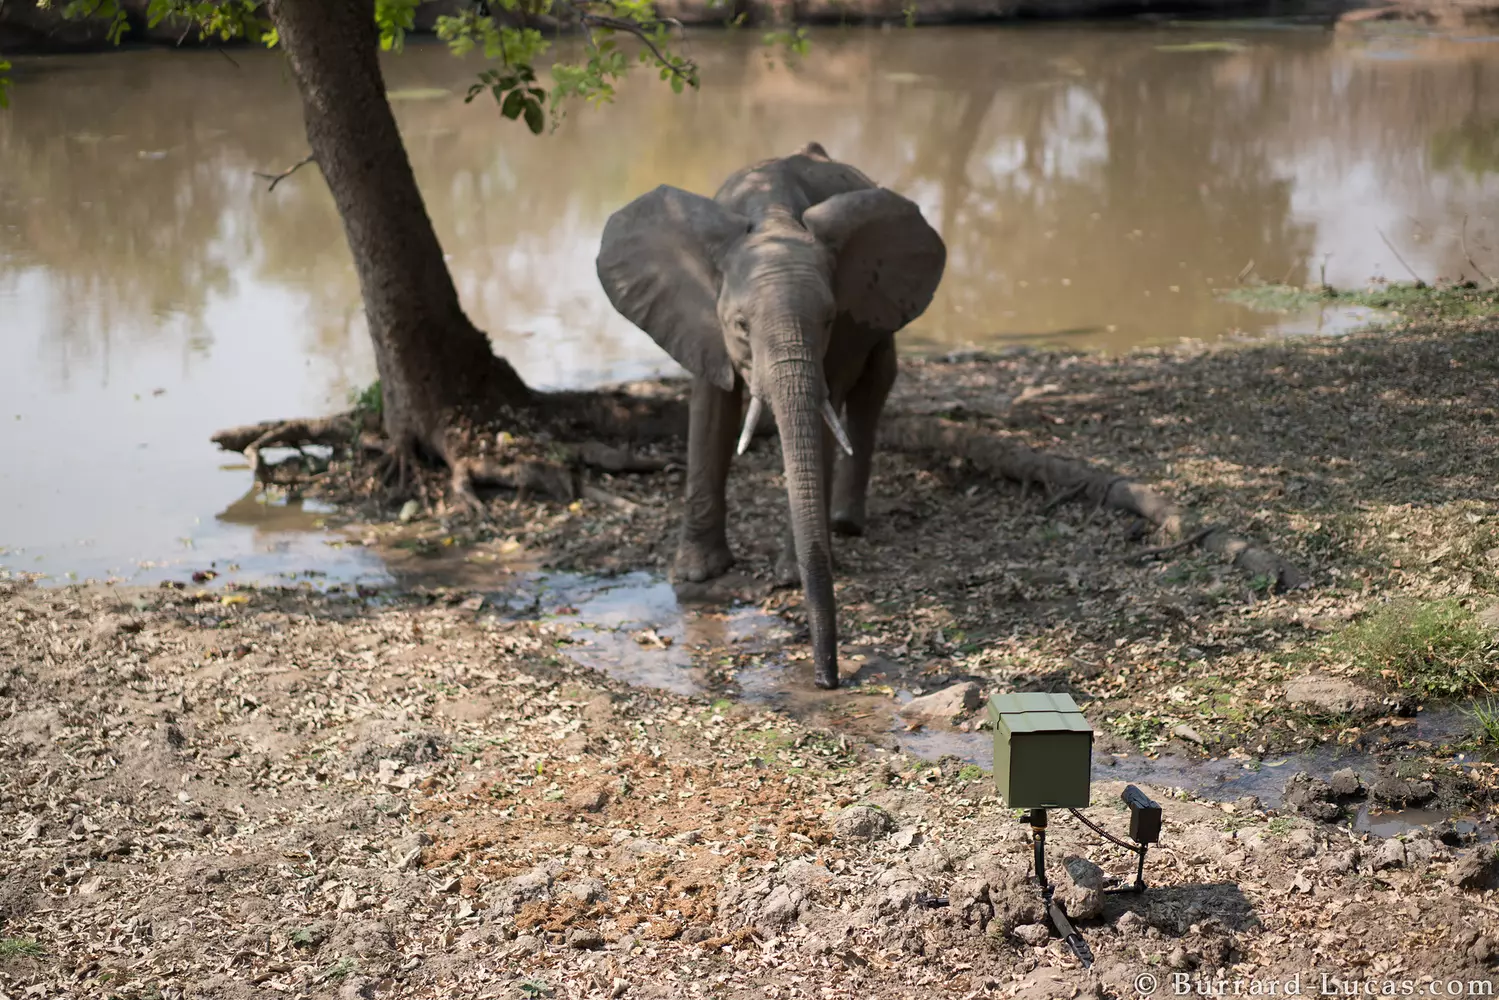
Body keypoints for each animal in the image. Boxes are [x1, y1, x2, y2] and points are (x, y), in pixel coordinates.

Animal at [596, 142, 947, 689]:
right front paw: (697, 573)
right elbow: (712, 408)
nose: (828, 680)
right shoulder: (699, 320)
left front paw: (787, 574)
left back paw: (845, 524)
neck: (773, 217)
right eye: (741, 324)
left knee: (873, 386)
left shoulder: (844, 325)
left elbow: (823, 412)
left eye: (827, 319)